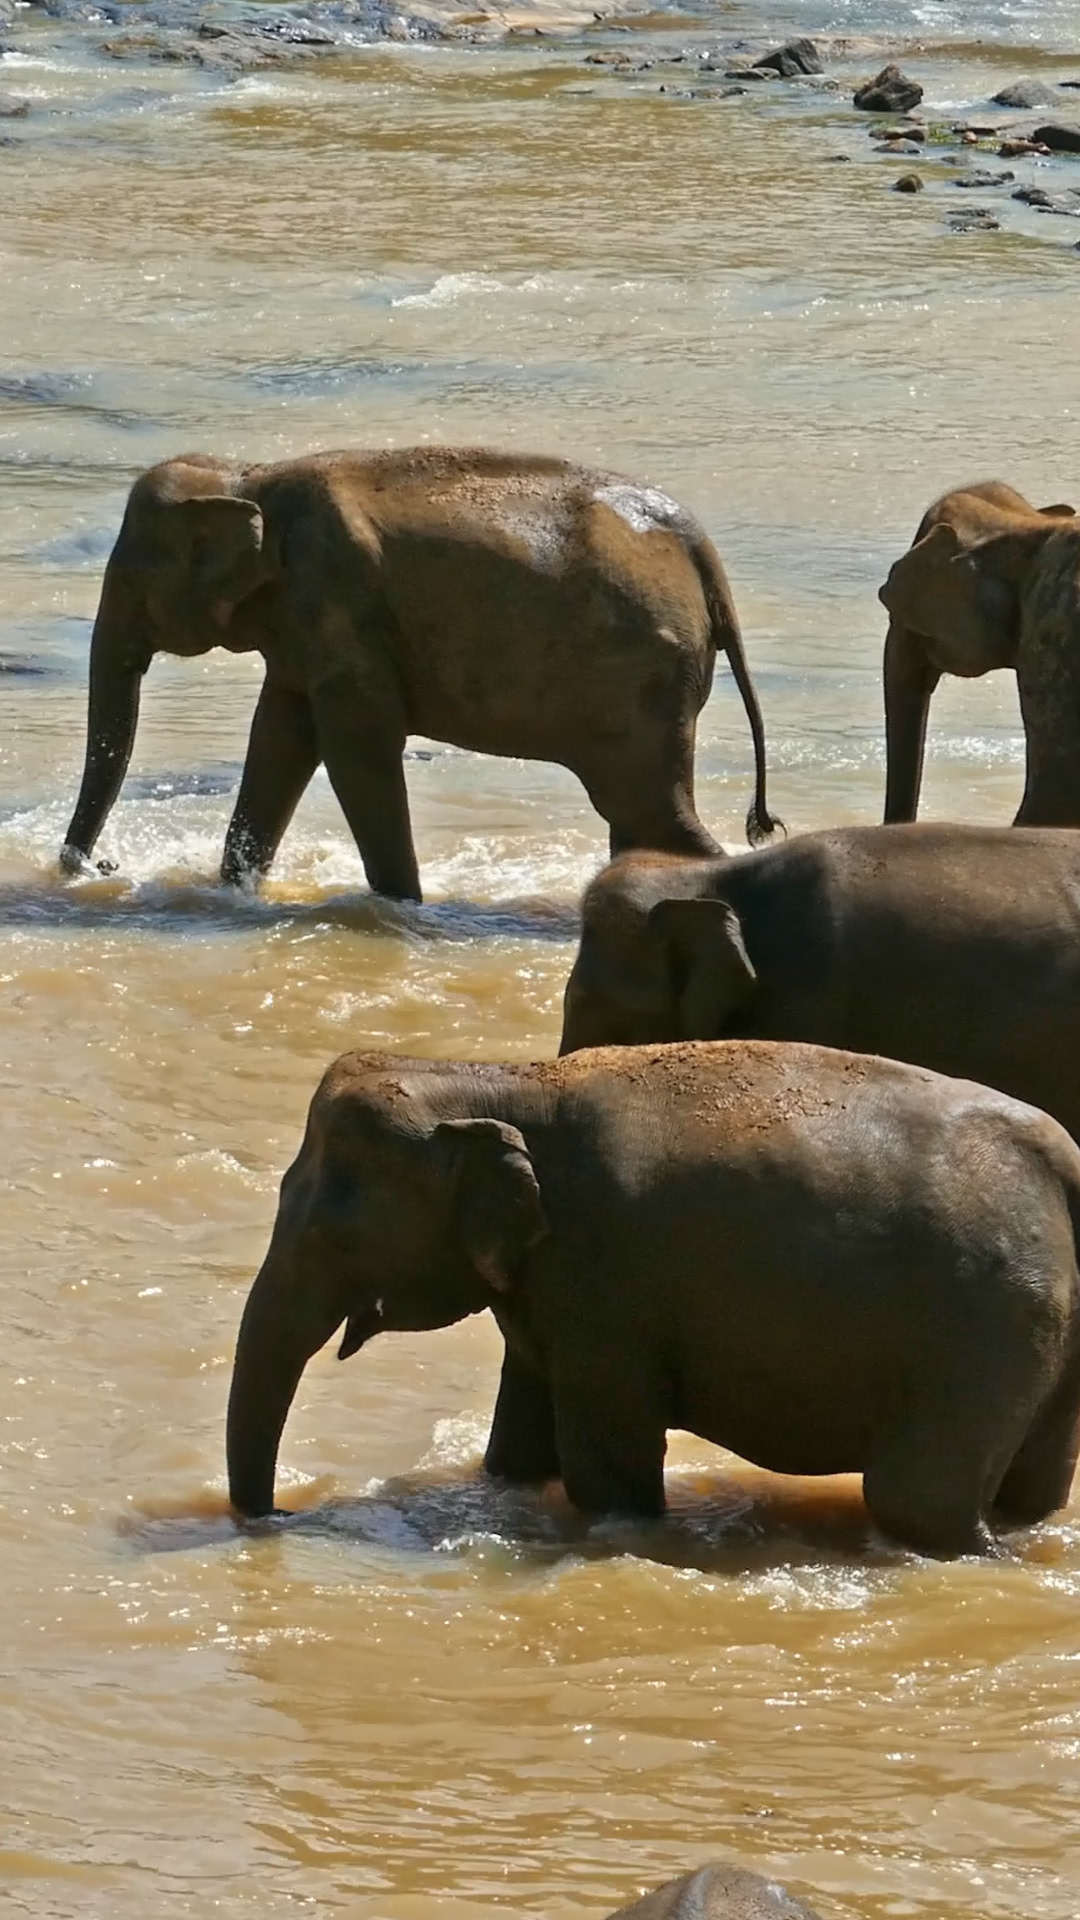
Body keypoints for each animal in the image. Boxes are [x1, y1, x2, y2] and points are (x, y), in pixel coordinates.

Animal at [59, 446, 780, 901]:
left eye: (130, 577)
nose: (101, 863)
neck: (248, 476)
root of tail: (701, 552)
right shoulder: (305, 631)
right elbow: (280, 738)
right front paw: (235, 891)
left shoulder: (342, 604)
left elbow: (356, 751)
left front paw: (401, 906)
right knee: (638, 815)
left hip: (643, 679)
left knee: (649, 807)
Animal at [225, 1037, 1080, 1556]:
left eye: (329, 1236)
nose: (283, 1514)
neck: (497, 1077)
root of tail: (1065, 1164)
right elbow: (518, 1449)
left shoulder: (604, 1283)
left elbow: (607, 1473)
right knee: (1030, 1485)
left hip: (988, 1320)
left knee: (916, 1502)